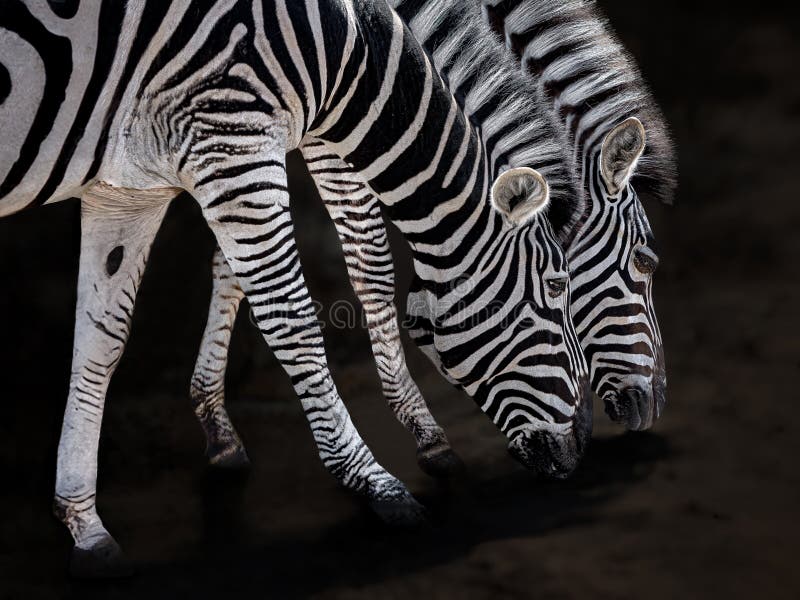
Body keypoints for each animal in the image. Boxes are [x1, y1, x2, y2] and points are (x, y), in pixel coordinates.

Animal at [1, 0, 588, 576]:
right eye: (558, 286)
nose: (581, 446)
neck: (346, 48)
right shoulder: (235, 142)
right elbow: (311, 304)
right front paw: (376, 477)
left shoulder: (128, 188)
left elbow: (102, 339)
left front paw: (83, 519)